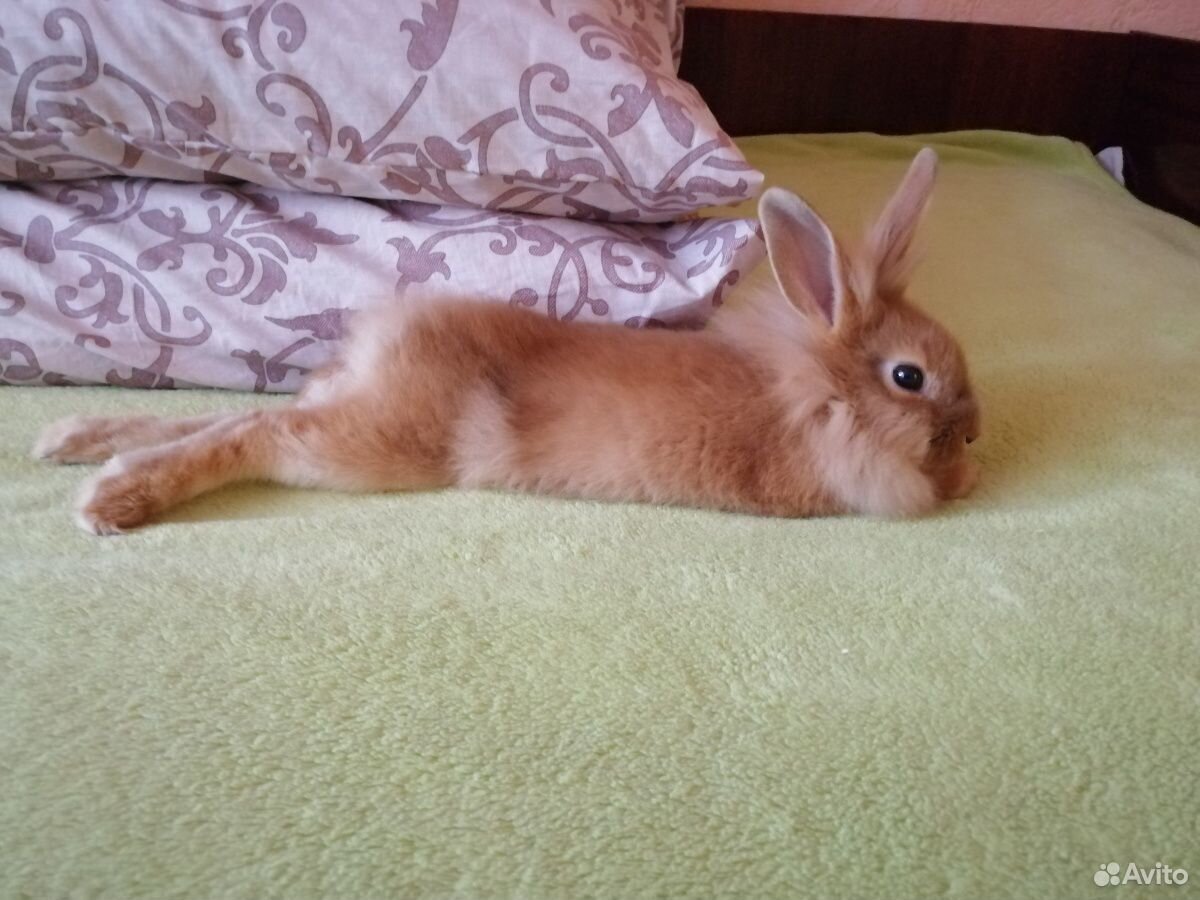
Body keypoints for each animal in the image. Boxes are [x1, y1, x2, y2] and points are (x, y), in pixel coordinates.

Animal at [33, 148, 980, 535]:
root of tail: (387, 342)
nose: (973, 436)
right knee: (252, 433)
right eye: (909, 377)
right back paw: (112, 501)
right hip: (371, 445)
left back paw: (72, 442)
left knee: (211, 421)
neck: (817, 391)